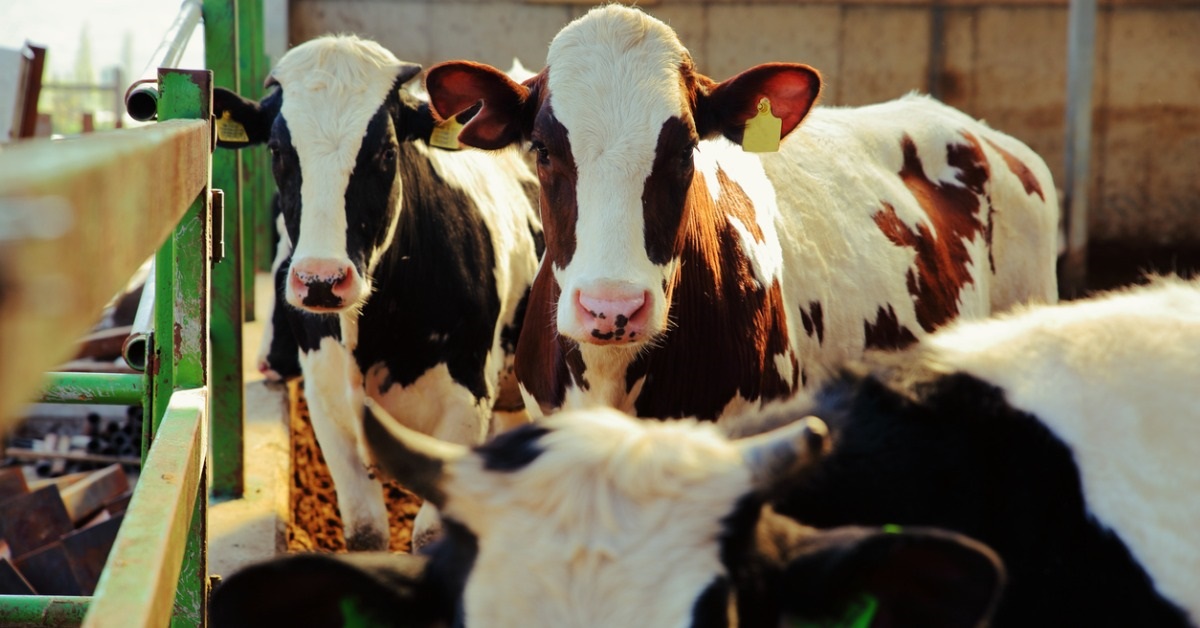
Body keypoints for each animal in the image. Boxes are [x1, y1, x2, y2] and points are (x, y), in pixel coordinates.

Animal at [212, 35, 544, 550]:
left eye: (387, 152)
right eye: (278, 150)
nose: (321, 280)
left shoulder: (466, 397)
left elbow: (429, 536)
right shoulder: (327, 398)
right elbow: (365, 531)